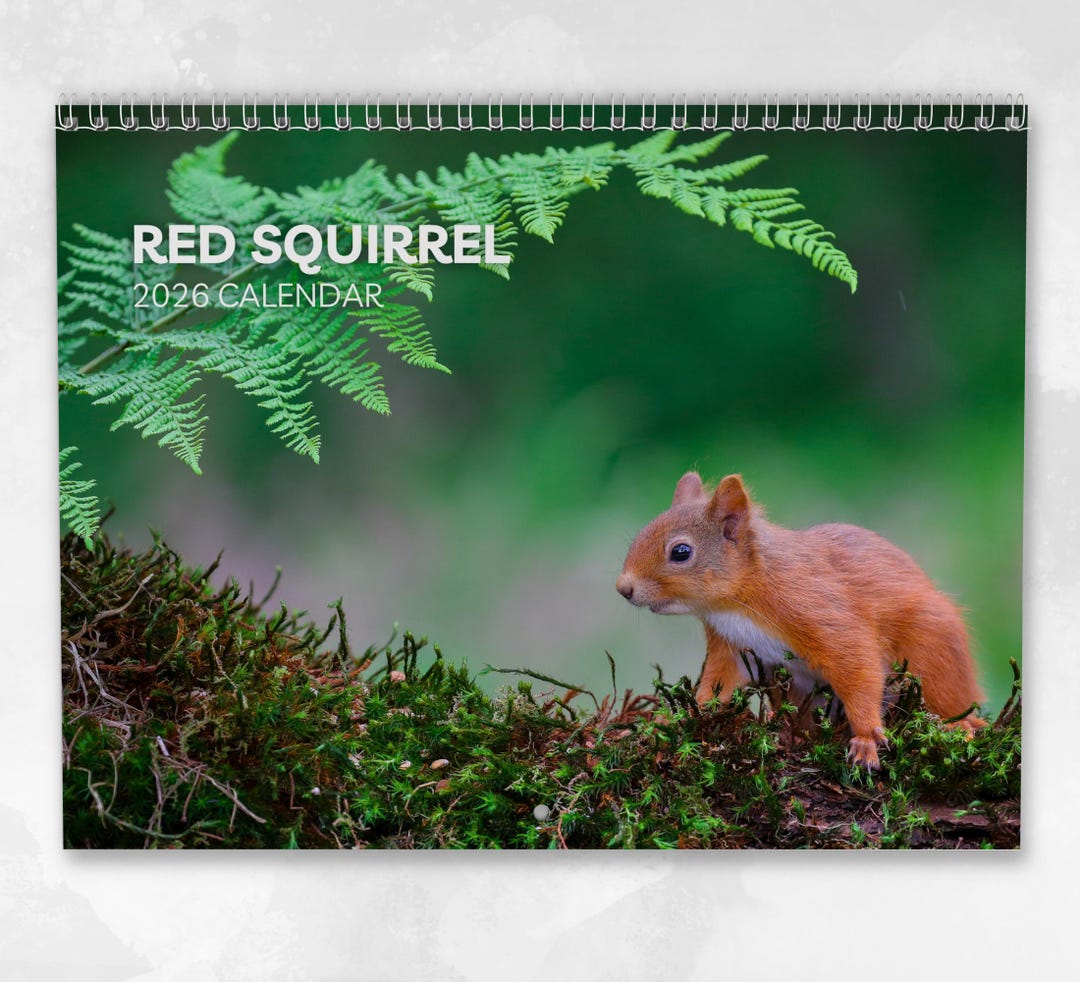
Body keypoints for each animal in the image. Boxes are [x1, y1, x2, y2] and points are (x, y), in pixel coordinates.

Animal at [616, 472, 985, 768]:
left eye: (681, 552)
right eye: (640, 534)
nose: (623, 588)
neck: (735, 602)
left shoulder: (818, 609)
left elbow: (857, 665)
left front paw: (867, 738)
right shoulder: (731, 645)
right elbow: (717, 686)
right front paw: (671, 722)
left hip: (930, 652)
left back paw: (960, 725)